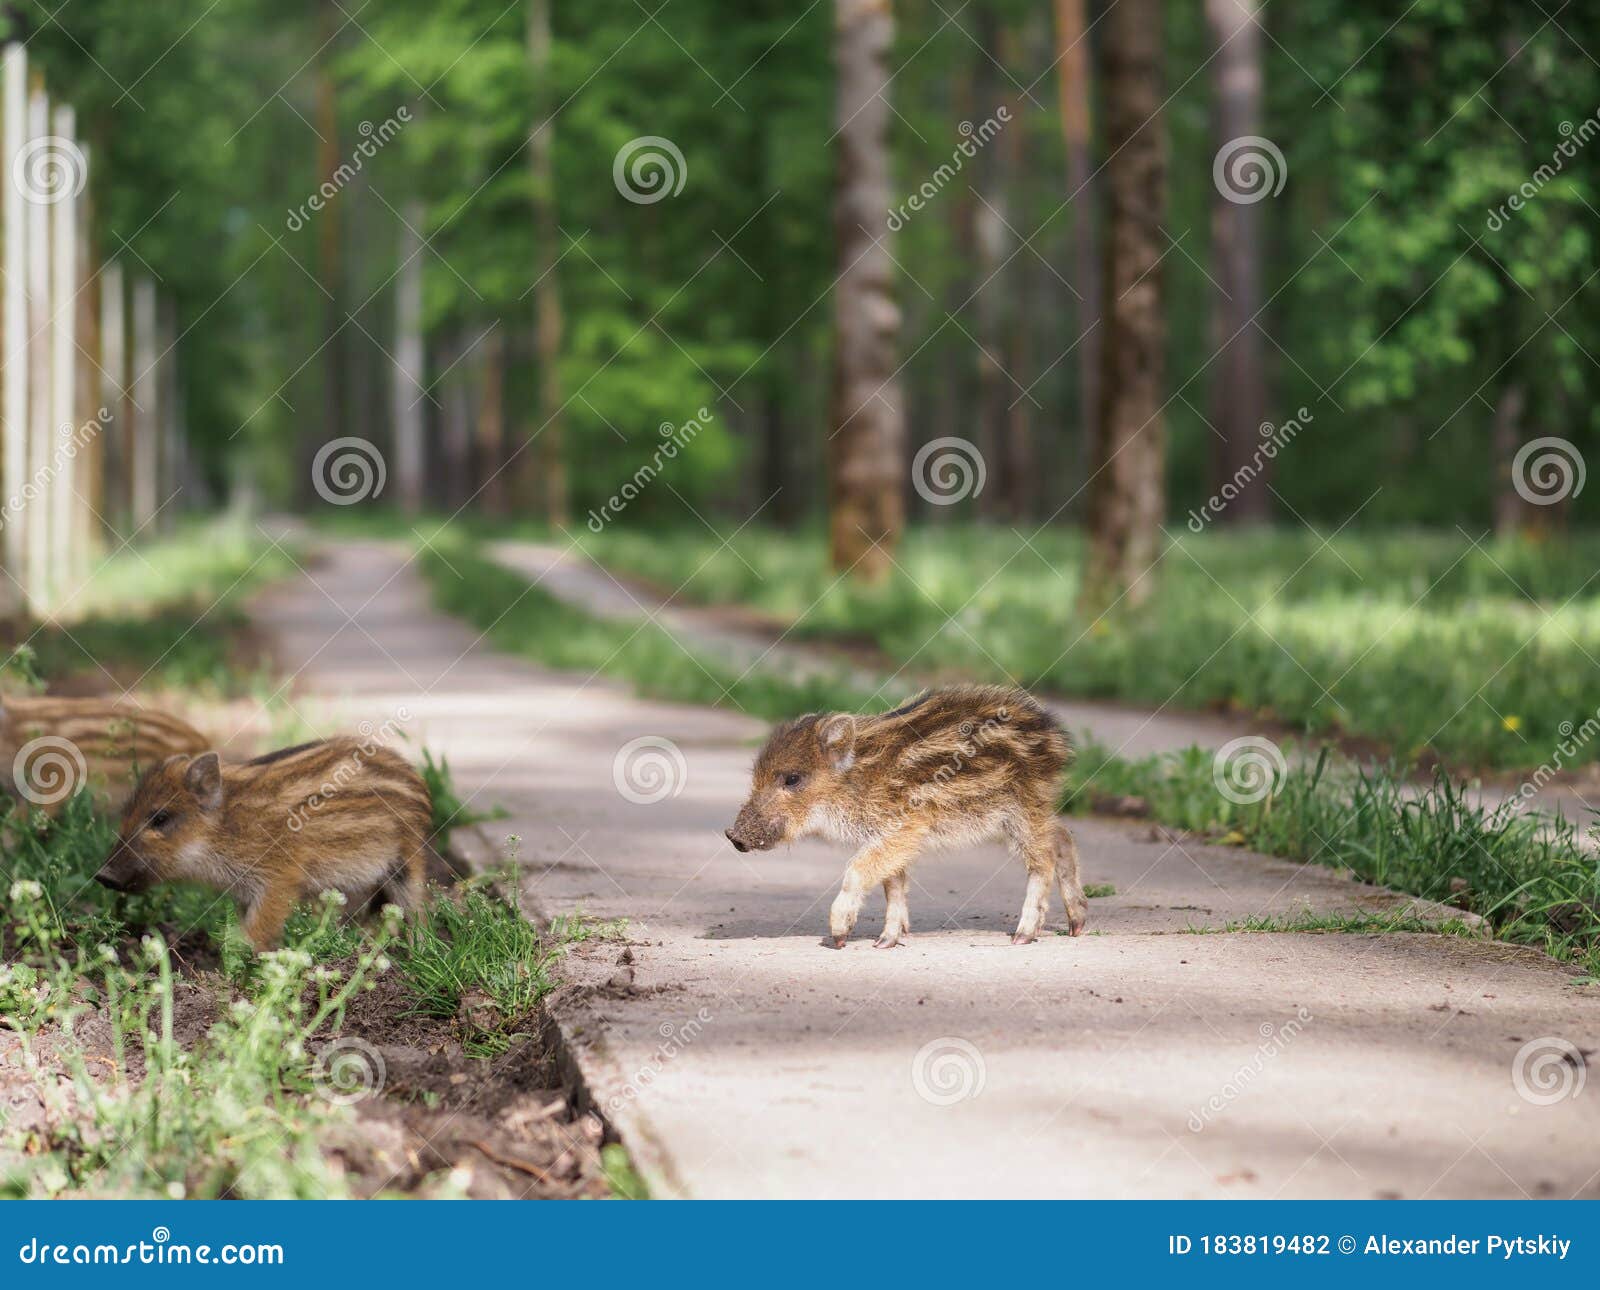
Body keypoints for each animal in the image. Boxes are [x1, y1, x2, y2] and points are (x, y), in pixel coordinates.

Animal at [97, 737, 432, 951]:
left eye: (161, 818)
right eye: (126, 813)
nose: (102, 875)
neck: (224, 830)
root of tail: (417, 781)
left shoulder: (279, 878)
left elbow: (256, 931)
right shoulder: (244, 889)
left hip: (408, 857)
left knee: (417, 909)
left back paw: (417, 952)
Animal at [725, 684, 1088, 947]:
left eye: (792, 779)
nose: (733, 835)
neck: (858, 779)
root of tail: (1056, 738)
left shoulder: (904, 828)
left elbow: (858, 870)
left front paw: (839, 936)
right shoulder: (887, 836)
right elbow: (893, 884)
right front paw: (887, 941)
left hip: (1022, 808)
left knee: (1043, 859)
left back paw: (1023, 935)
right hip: (1019, 814)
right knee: (1063, 837)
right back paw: (1076, 924)